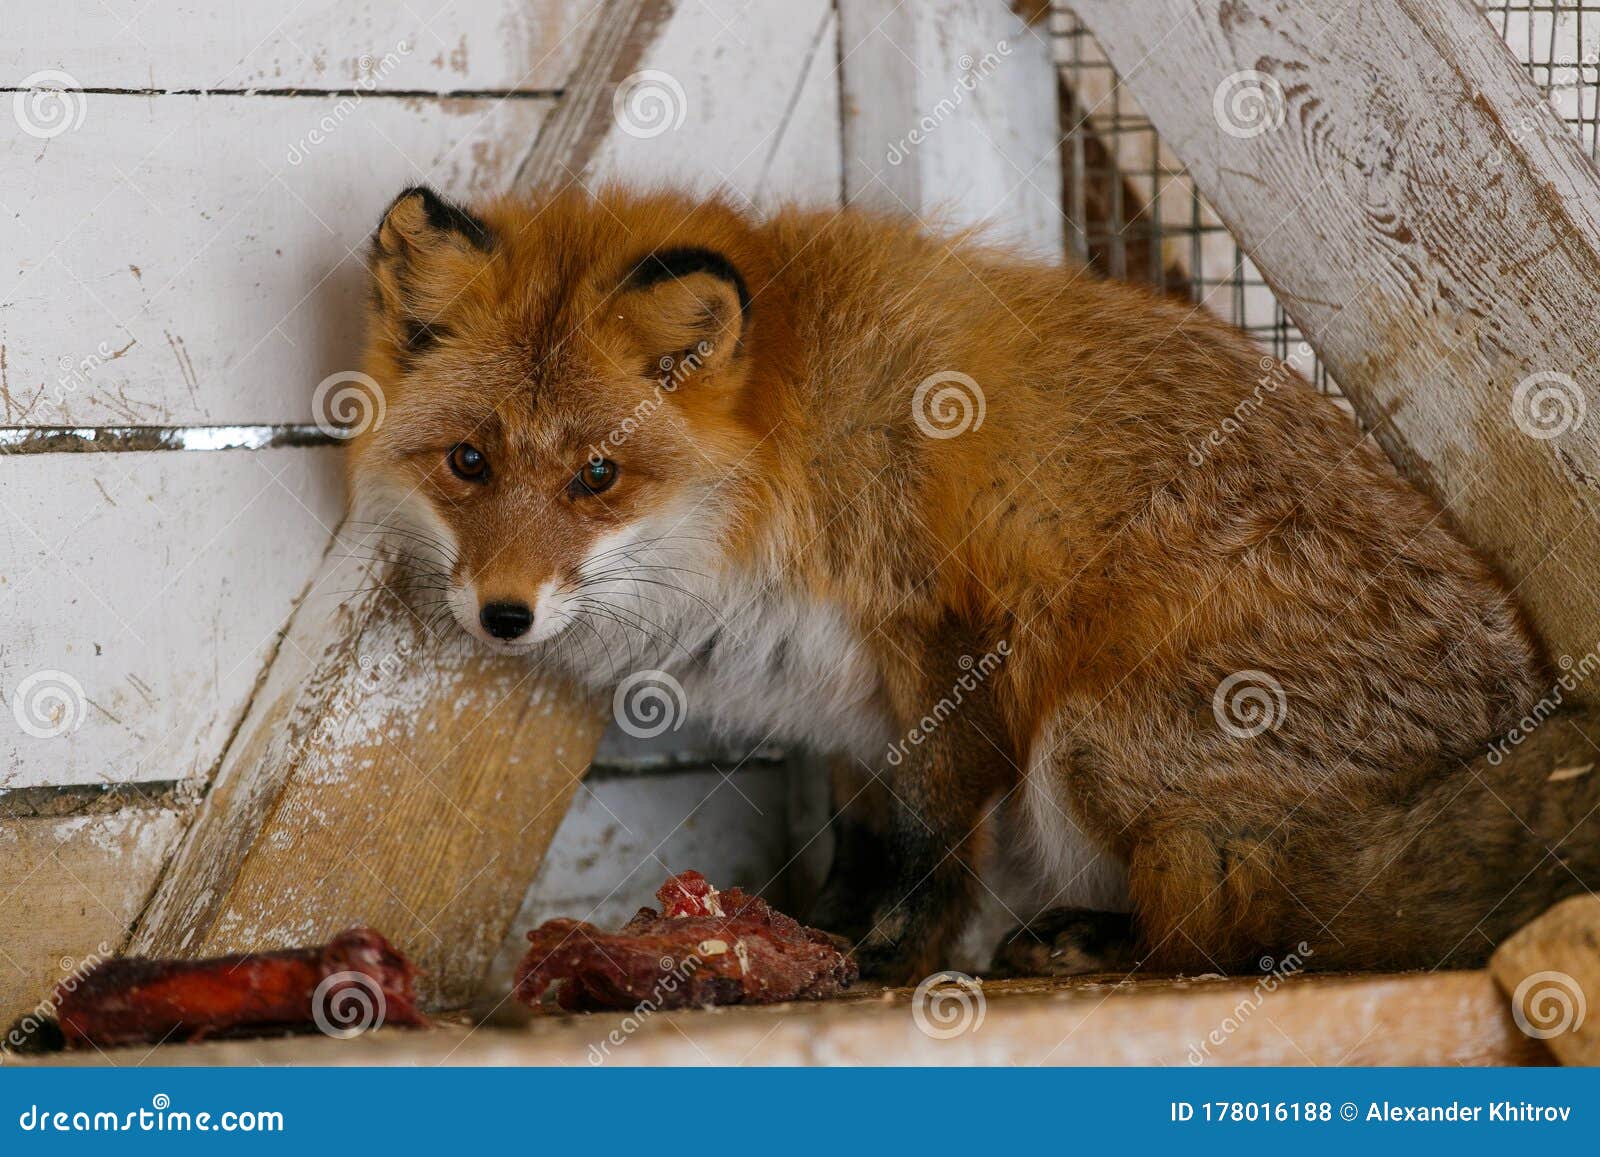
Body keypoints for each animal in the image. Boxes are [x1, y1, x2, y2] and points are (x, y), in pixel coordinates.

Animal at [348, 183, 1600, 984]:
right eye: (469, 462)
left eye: (596, 476)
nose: (502, 613)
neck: (784, 453)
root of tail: (1508, 719)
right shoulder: (846, 705)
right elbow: (863, 841)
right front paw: (812, 942)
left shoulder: (940, 643)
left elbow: (932, 839)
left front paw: (894, 959)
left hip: (1094, 736)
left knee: (1227, 930)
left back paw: (1101, 943)